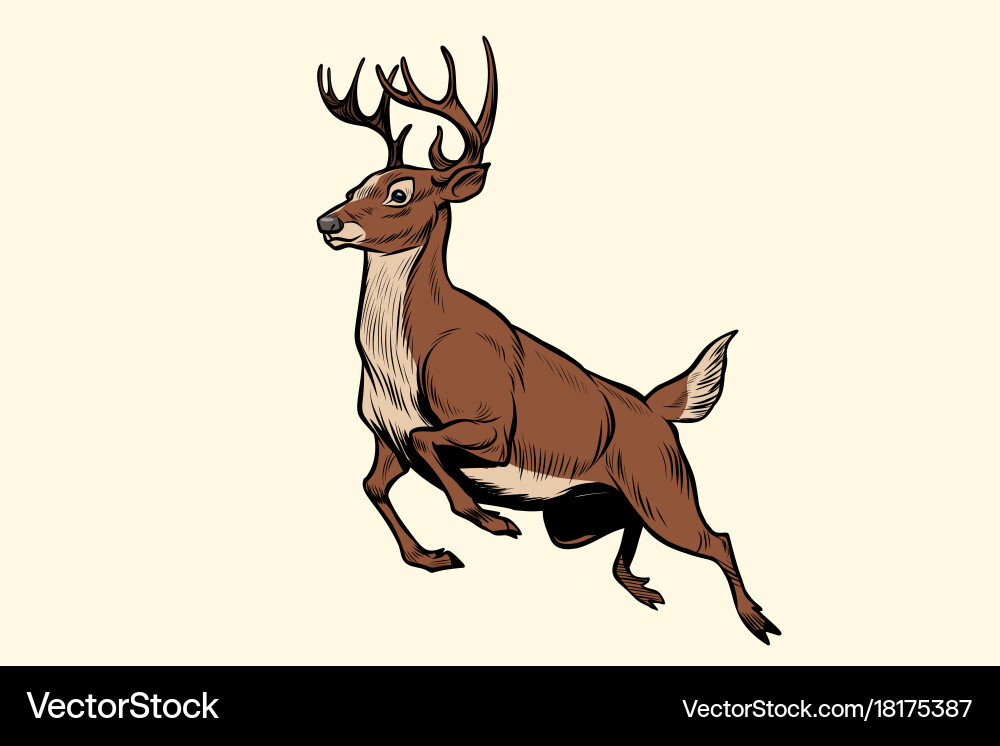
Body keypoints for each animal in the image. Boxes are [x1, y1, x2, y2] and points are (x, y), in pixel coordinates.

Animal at [315, 38, 781, 644]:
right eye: (354, 187)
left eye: (400, 192)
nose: (328, 222)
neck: (403, 354)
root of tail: (658, 411)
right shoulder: (383, 436)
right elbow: (373, 484)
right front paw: (431, 557)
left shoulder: (492, 422)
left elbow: (427, 439)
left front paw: (488, 518)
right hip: (578, 515)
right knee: (627, 529)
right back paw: (638, 585)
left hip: (664, 487)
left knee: (717, 538)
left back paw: (758, 621)